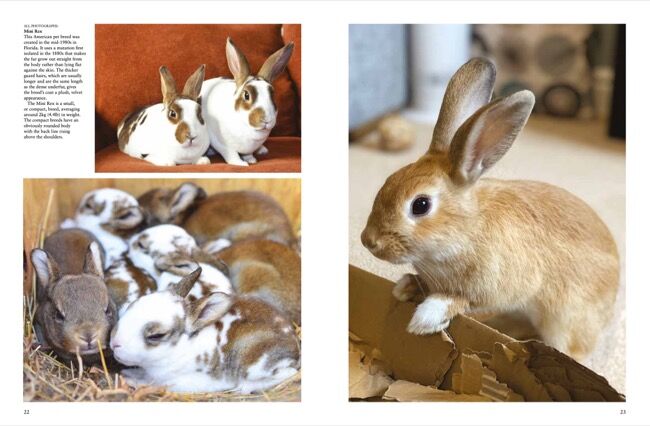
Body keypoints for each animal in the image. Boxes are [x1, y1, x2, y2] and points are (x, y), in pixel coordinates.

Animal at [110, 268, 300, 394]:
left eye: (156, 335)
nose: (114, 343)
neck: (182, 347)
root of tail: (293, 346)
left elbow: (158, 384)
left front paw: (132, 378)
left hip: (256, 365)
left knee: (288, 374)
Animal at [200, 38, 294, 166]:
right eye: (246, 95)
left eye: (272, 95)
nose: (266, 120)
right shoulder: (222, 143)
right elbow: (231, 154)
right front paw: (241, 163)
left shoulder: (248, 149)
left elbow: (248, 154)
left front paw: (252, 160)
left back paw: (262, 150)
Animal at [360, 58, 619, 361]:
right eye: (388, 180)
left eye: (421, 205)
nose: (368, 241)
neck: (468, 227)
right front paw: (404, 287)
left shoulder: (494, 287)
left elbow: (459, 300)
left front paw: (425, 319)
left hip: (563, 322)